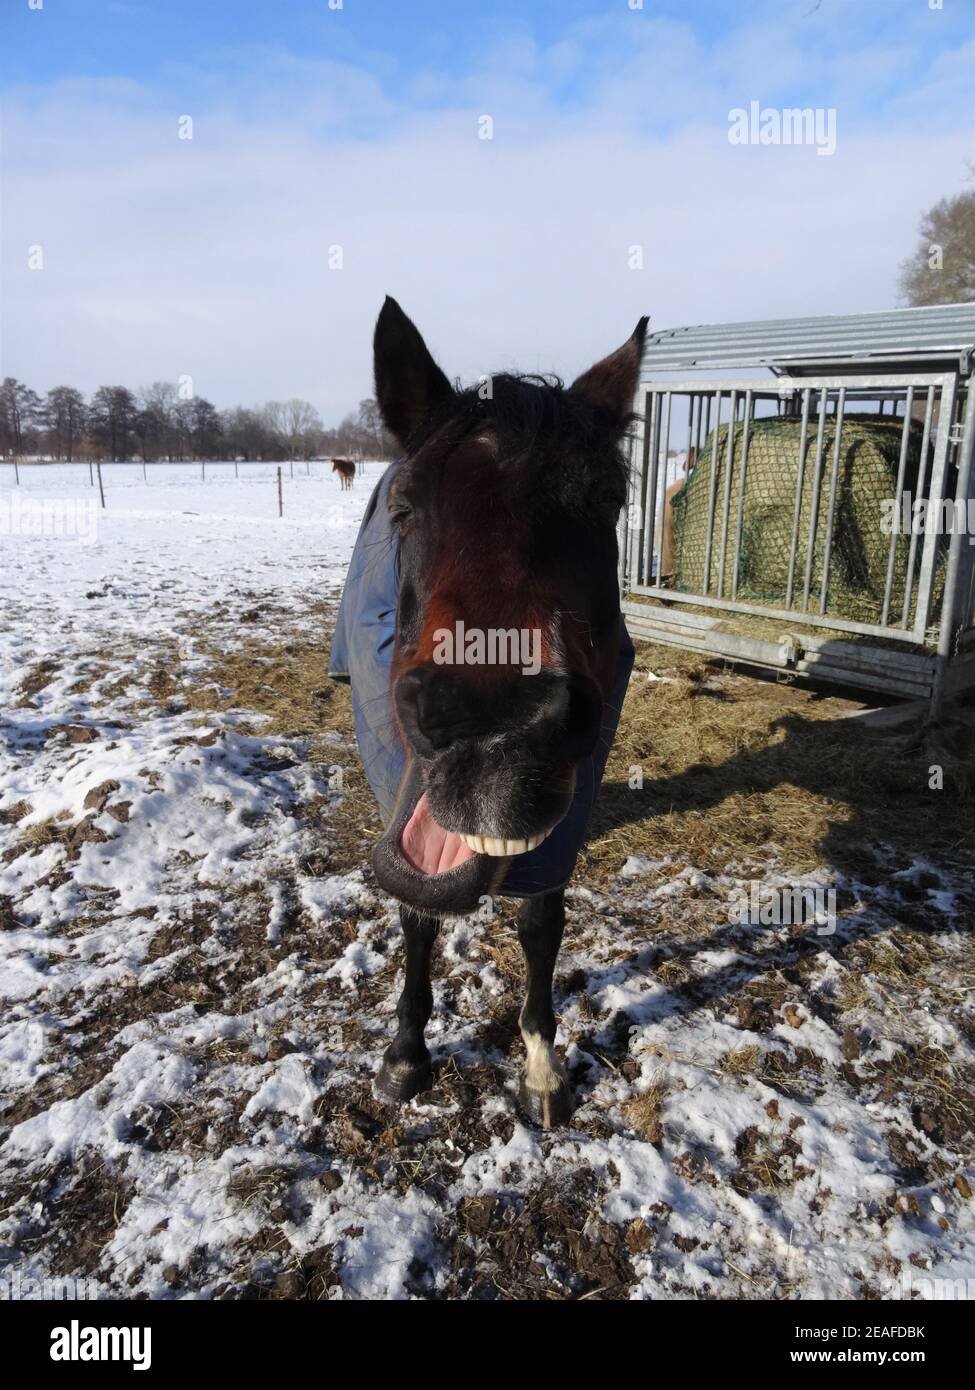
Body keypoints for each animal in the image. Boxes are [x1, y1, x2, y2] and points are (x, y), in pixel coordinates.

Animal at [331, 296, 646, 1128]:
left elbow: (539, 922)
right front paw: (405, 1053)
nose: (493, 726)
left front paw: (539, 1066)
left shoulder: (562, 816)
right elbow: (416, 912)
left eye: (608, 503)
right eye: (405, 506)